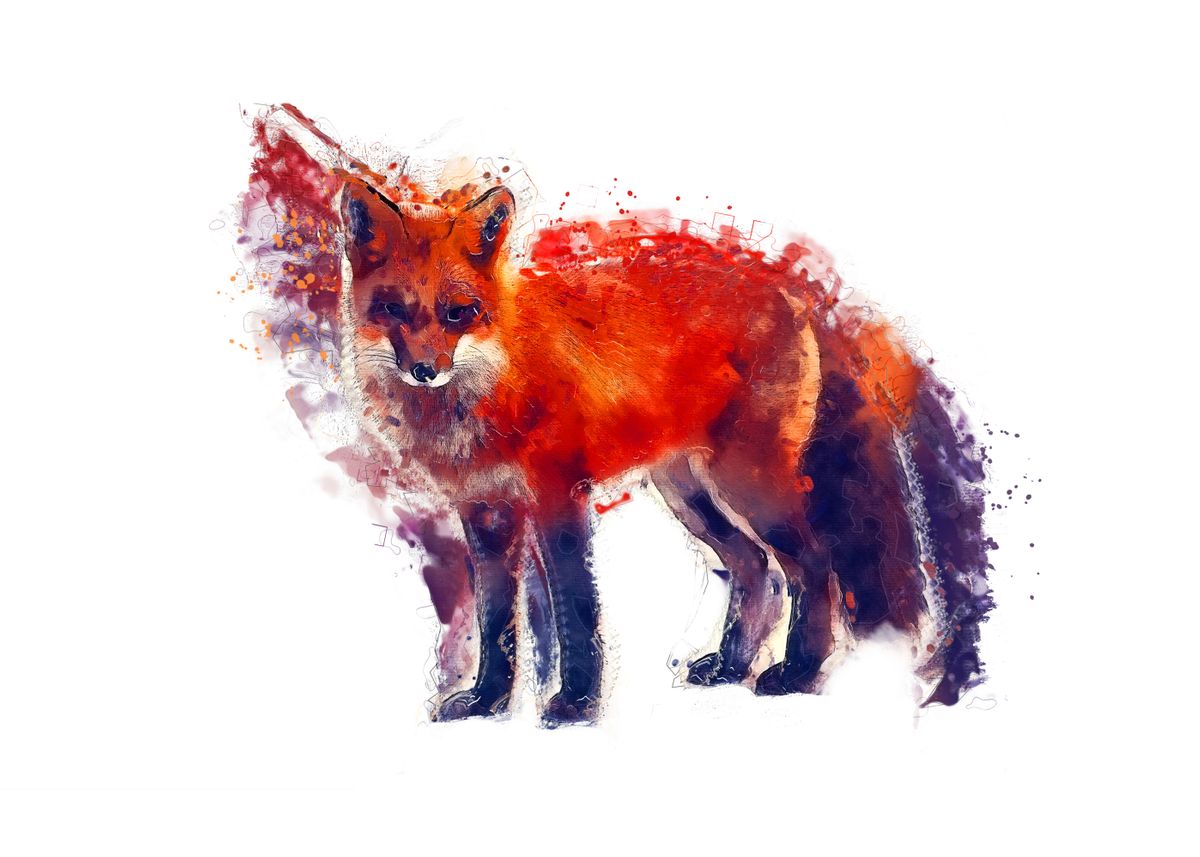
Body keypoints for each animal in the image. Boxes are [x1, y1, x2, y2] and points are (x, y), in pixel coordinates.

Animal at [238, 104, 994, 726]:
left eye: (458, 313)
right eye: (394, 309)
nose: (426, 369)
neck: (491, 386)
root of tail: (793, 288)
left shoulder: (557, 497)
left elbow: (576, 610)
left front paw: (574, 703)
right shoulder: (486, 513)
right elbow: (495, 623)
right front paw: (486, 701)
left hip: (749, 485)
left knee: (812, 564)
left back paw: (797, 673)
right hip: (687, 492)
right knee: (753, 567)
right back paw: (730, 666)